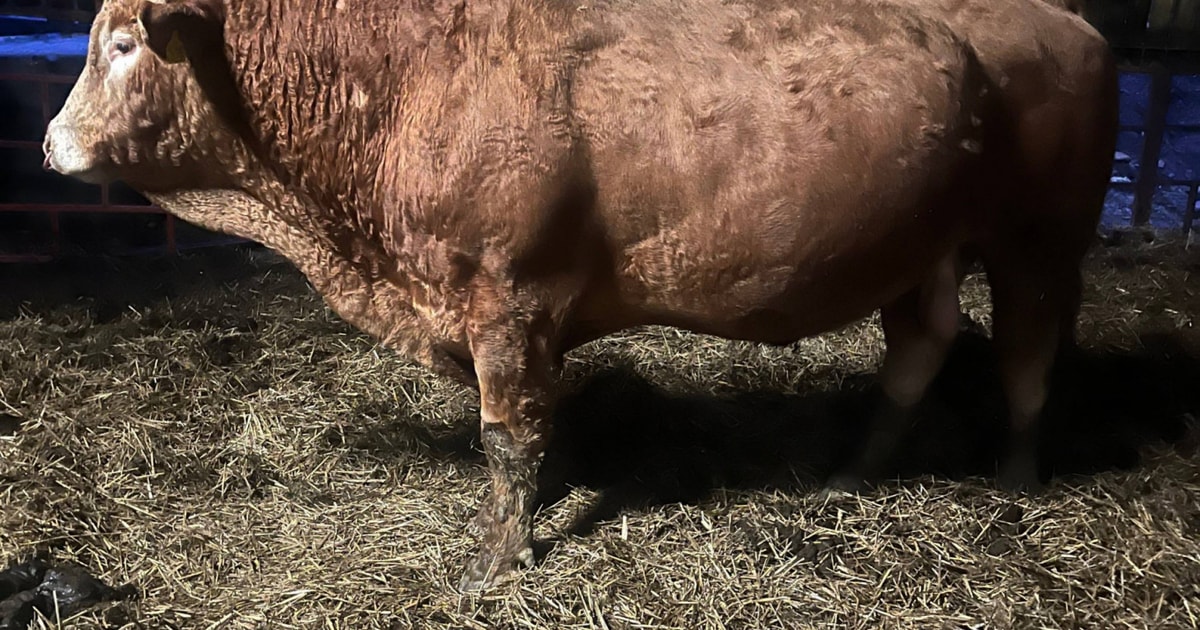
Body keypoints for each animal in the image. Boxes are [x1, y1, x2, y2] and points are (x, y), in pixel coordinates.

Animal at [42, 0, 1117, 591]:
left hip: (1040, 239)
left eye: (126, 45)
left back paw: (1017, 479)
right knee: (924, 342)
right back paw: (855, 471)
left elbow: (507, 438)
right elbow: (529, 435)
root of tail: (1064, 19)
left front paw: (495, 560)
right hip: (919, 247)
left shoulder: (510, 302)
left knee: (1027, 351)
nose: (50, 144)